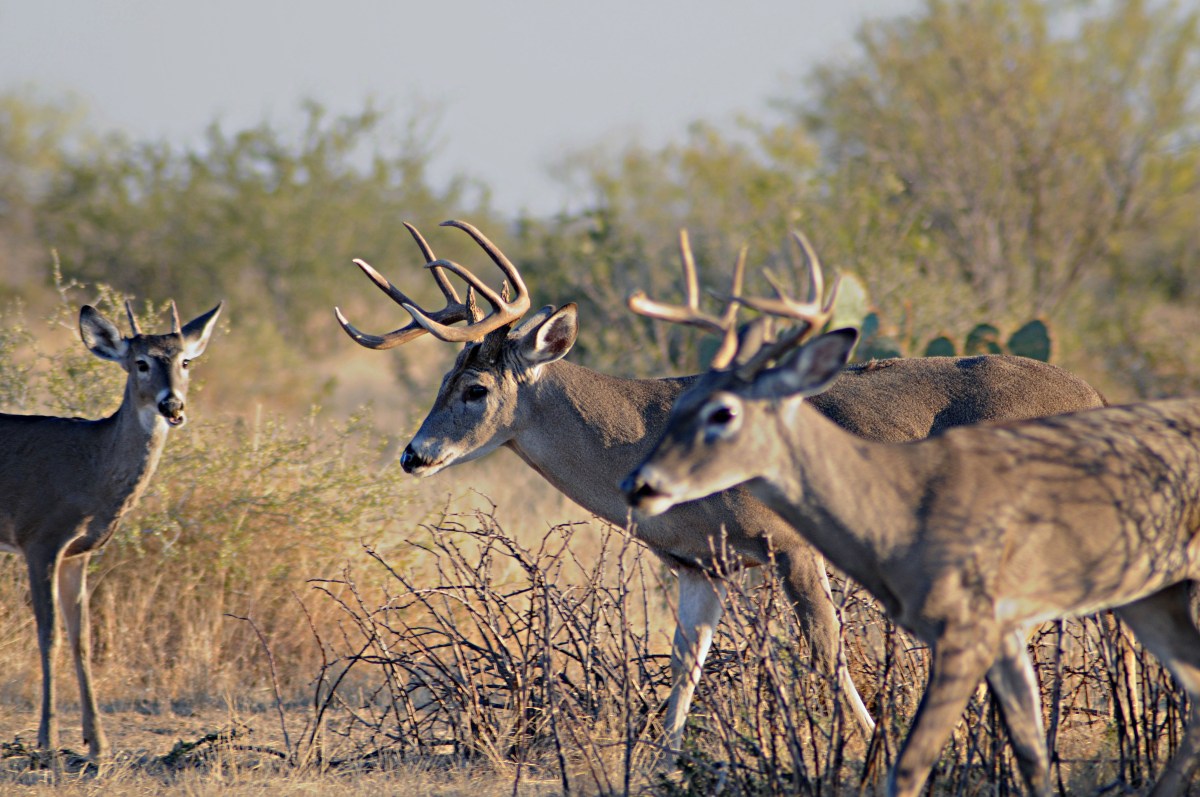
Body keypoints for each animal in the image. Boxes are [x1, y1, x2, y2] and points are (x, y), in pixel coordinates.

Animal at [0, 300, 222, 758]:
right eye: (140, 363)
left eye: (185, 361)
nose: (172, 405)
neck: (92, 468)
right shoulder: (38, 539)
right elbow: (49, 634)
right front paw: (47, 739)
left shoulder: (77, 553)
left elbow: (82, 637)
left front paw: (96, 741)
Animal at [333, 220, 1106, 760]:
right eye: (440, 379)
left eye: (476, 388)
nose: (413, 454)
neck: (644, 435)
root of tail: (1092, 392)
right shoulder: (698, 563)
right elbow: (685, 663)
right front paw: (663, 763)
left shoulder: (790, 542)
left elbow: (825, 645)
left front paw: (870, 740)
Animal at [621, 234, 1200, 796]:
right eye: (676, 406)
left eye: (724, 412)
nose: (639, 483)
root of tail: (1095, 393)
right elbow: (1030, 753)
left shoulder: (965, 627)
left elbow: (909, 760)